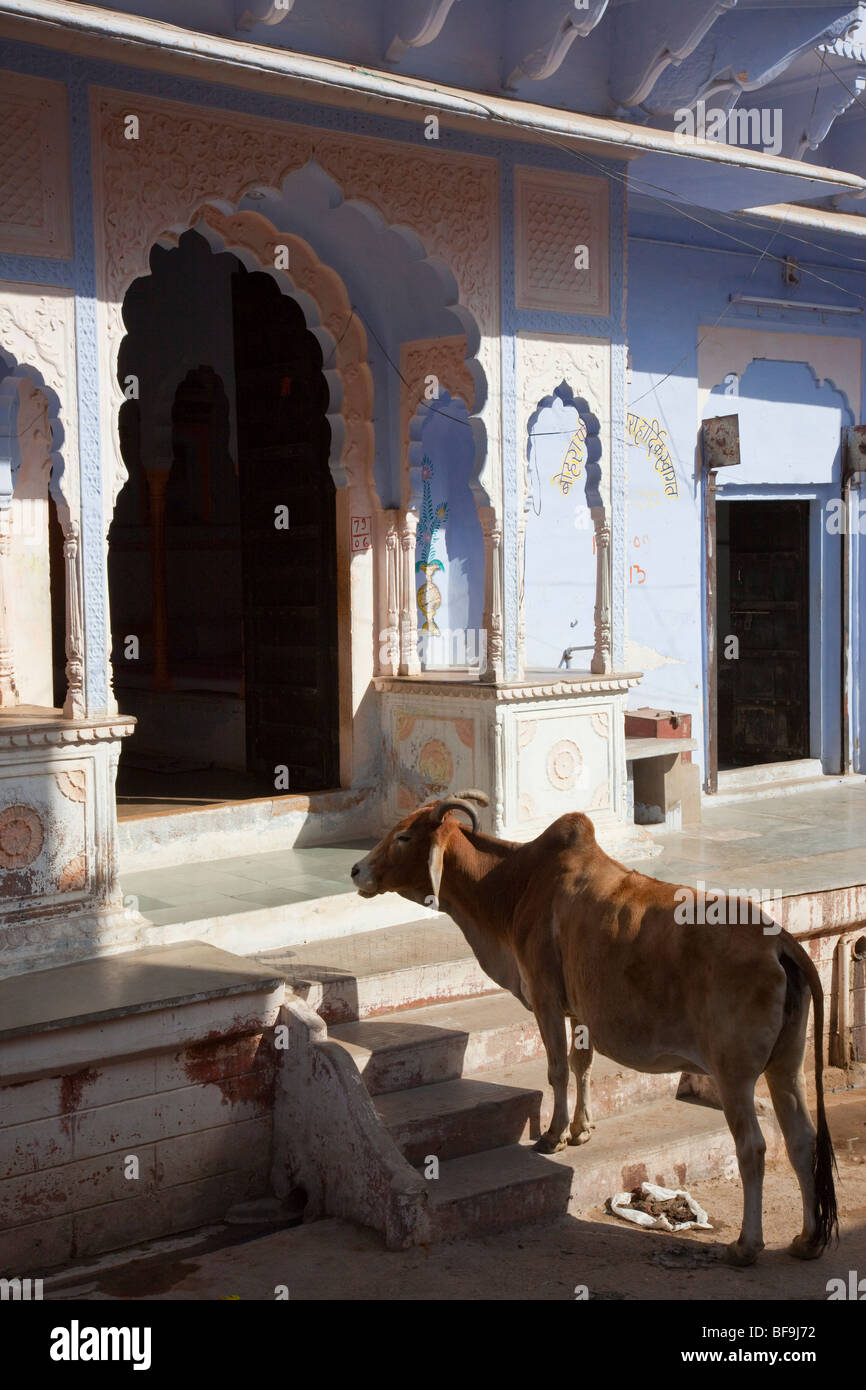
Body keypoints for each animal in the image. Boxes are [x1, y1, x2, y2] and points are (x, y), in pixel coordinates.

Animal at [351, 791, 838, 1267]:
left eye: (404, 836)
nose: (357, 870)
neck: (515, 884)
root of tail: (781, 942)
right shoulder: (581, 1010)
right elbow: (581, 1064)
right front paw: (581, 1128)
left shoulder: (545, 997)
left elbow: (557, 1069)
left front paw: (553, 1136)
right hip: (786, 1066)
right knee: (802, 1140)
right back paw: (806, 1239)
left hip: (735, 1075)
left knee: (753, 1148)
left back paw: (745, 1246)